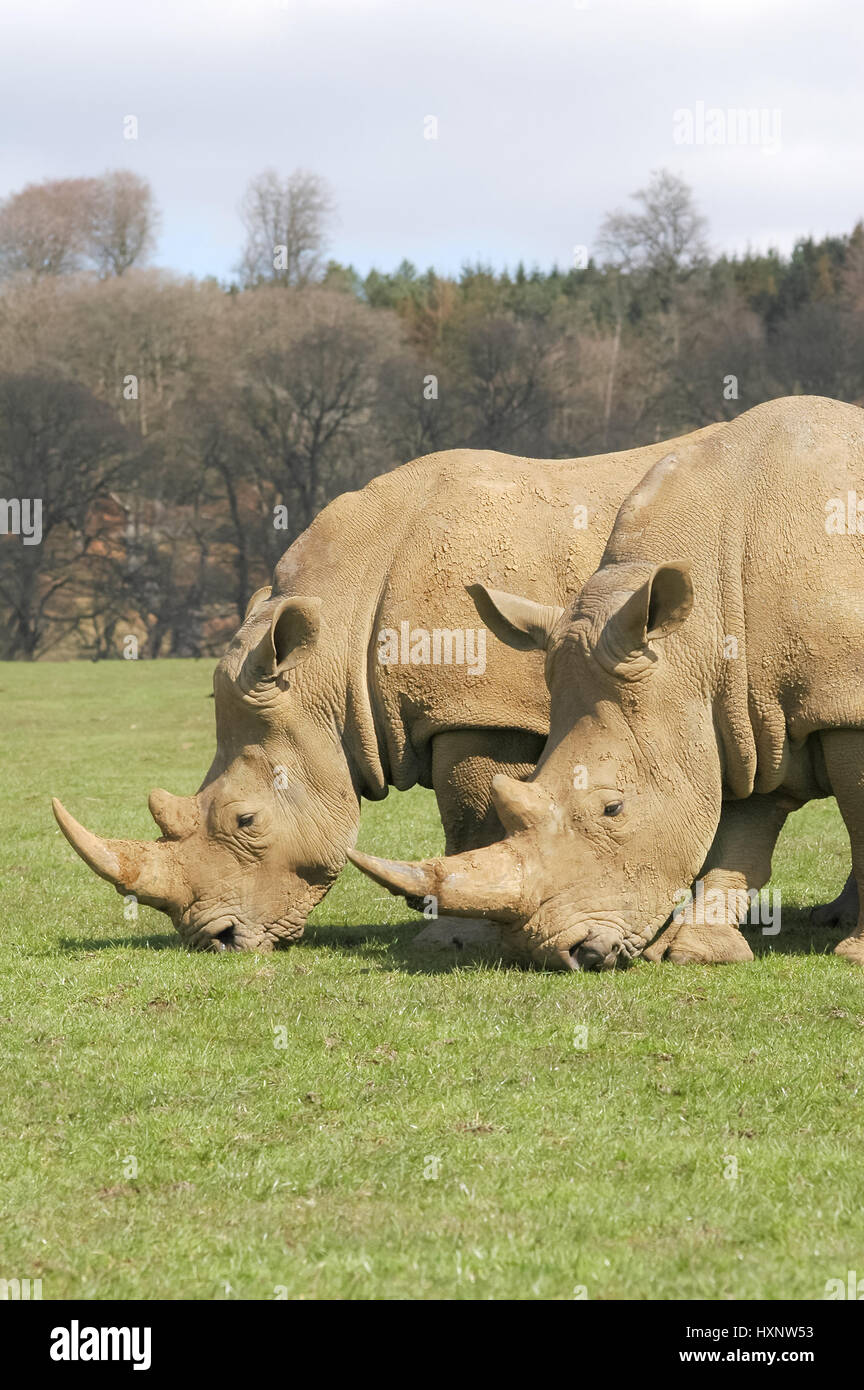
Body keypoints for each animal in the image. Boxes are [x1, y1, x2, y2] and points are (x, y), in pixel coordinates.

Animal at [54, 430, 729, 952]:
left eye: (246, 820)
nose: (213, 941)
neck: (336, 644)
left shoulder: (485, 711)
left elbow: (473, 816)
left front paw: (450, 938)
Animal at [350, 396, 864, 969]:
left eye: (613, 808)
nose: (566, 954)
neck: (703, 633)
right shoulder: (741, 716)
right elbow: (740, 835)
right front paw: (692, 952)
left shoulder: (832, 701)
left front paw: (854, 956)